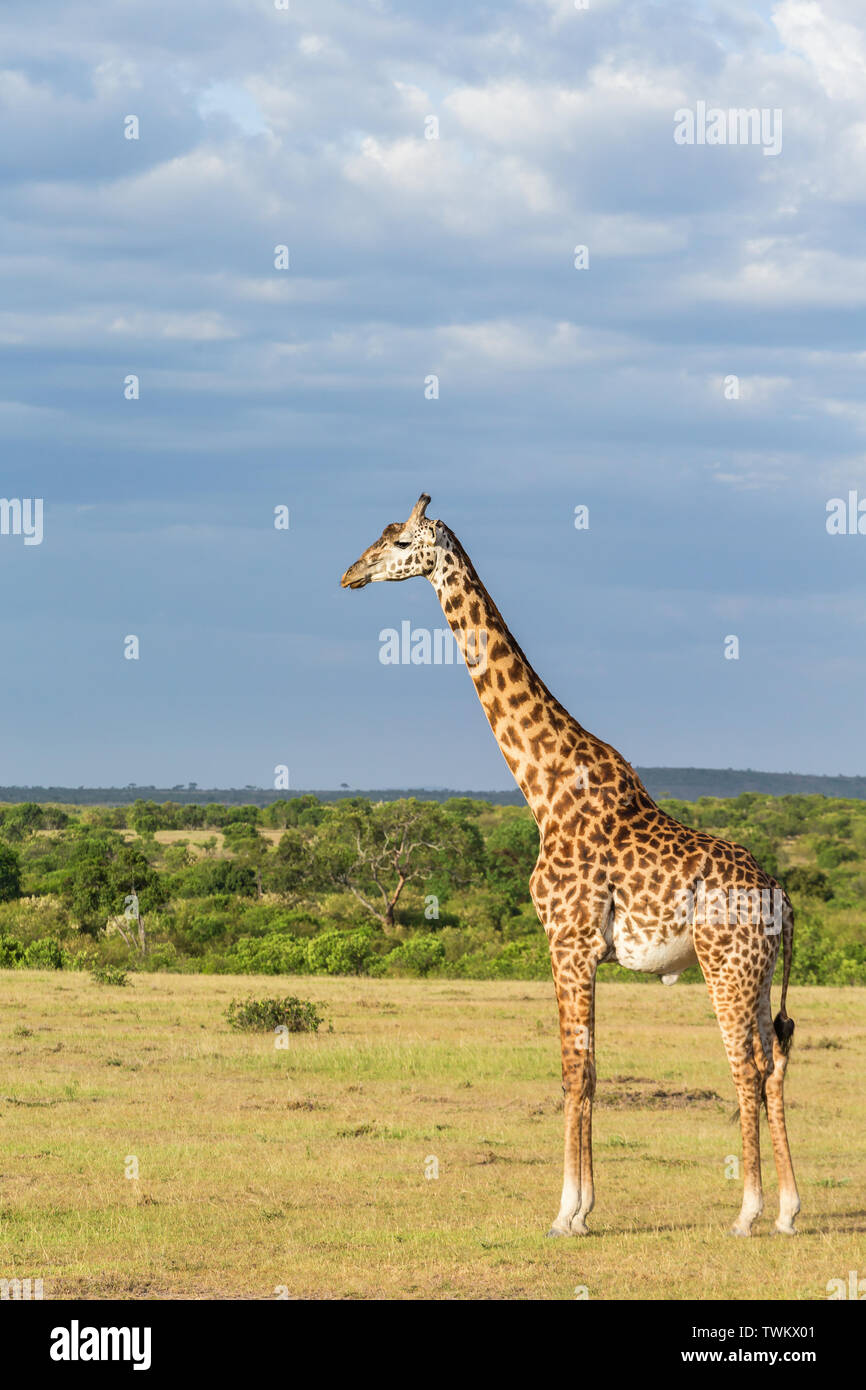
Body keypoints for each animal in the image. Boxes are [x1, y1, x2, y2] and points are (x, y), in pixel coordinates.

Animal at [340, 495, 800, 1238]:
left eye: (401, 541)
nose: (350, 574)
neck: (543, 785)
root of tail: (781, 897)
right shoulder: (578, 949)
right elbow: (588, 1070)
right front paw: (580, 1207)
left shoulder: (569, 941)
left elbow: (573, 1073)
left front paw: (568, 1213)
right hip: (757, 975)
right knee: (776, 1061)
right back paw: (788, 1210)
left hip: (726, 966)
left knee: (747, 1067)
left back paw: (749, 1211)